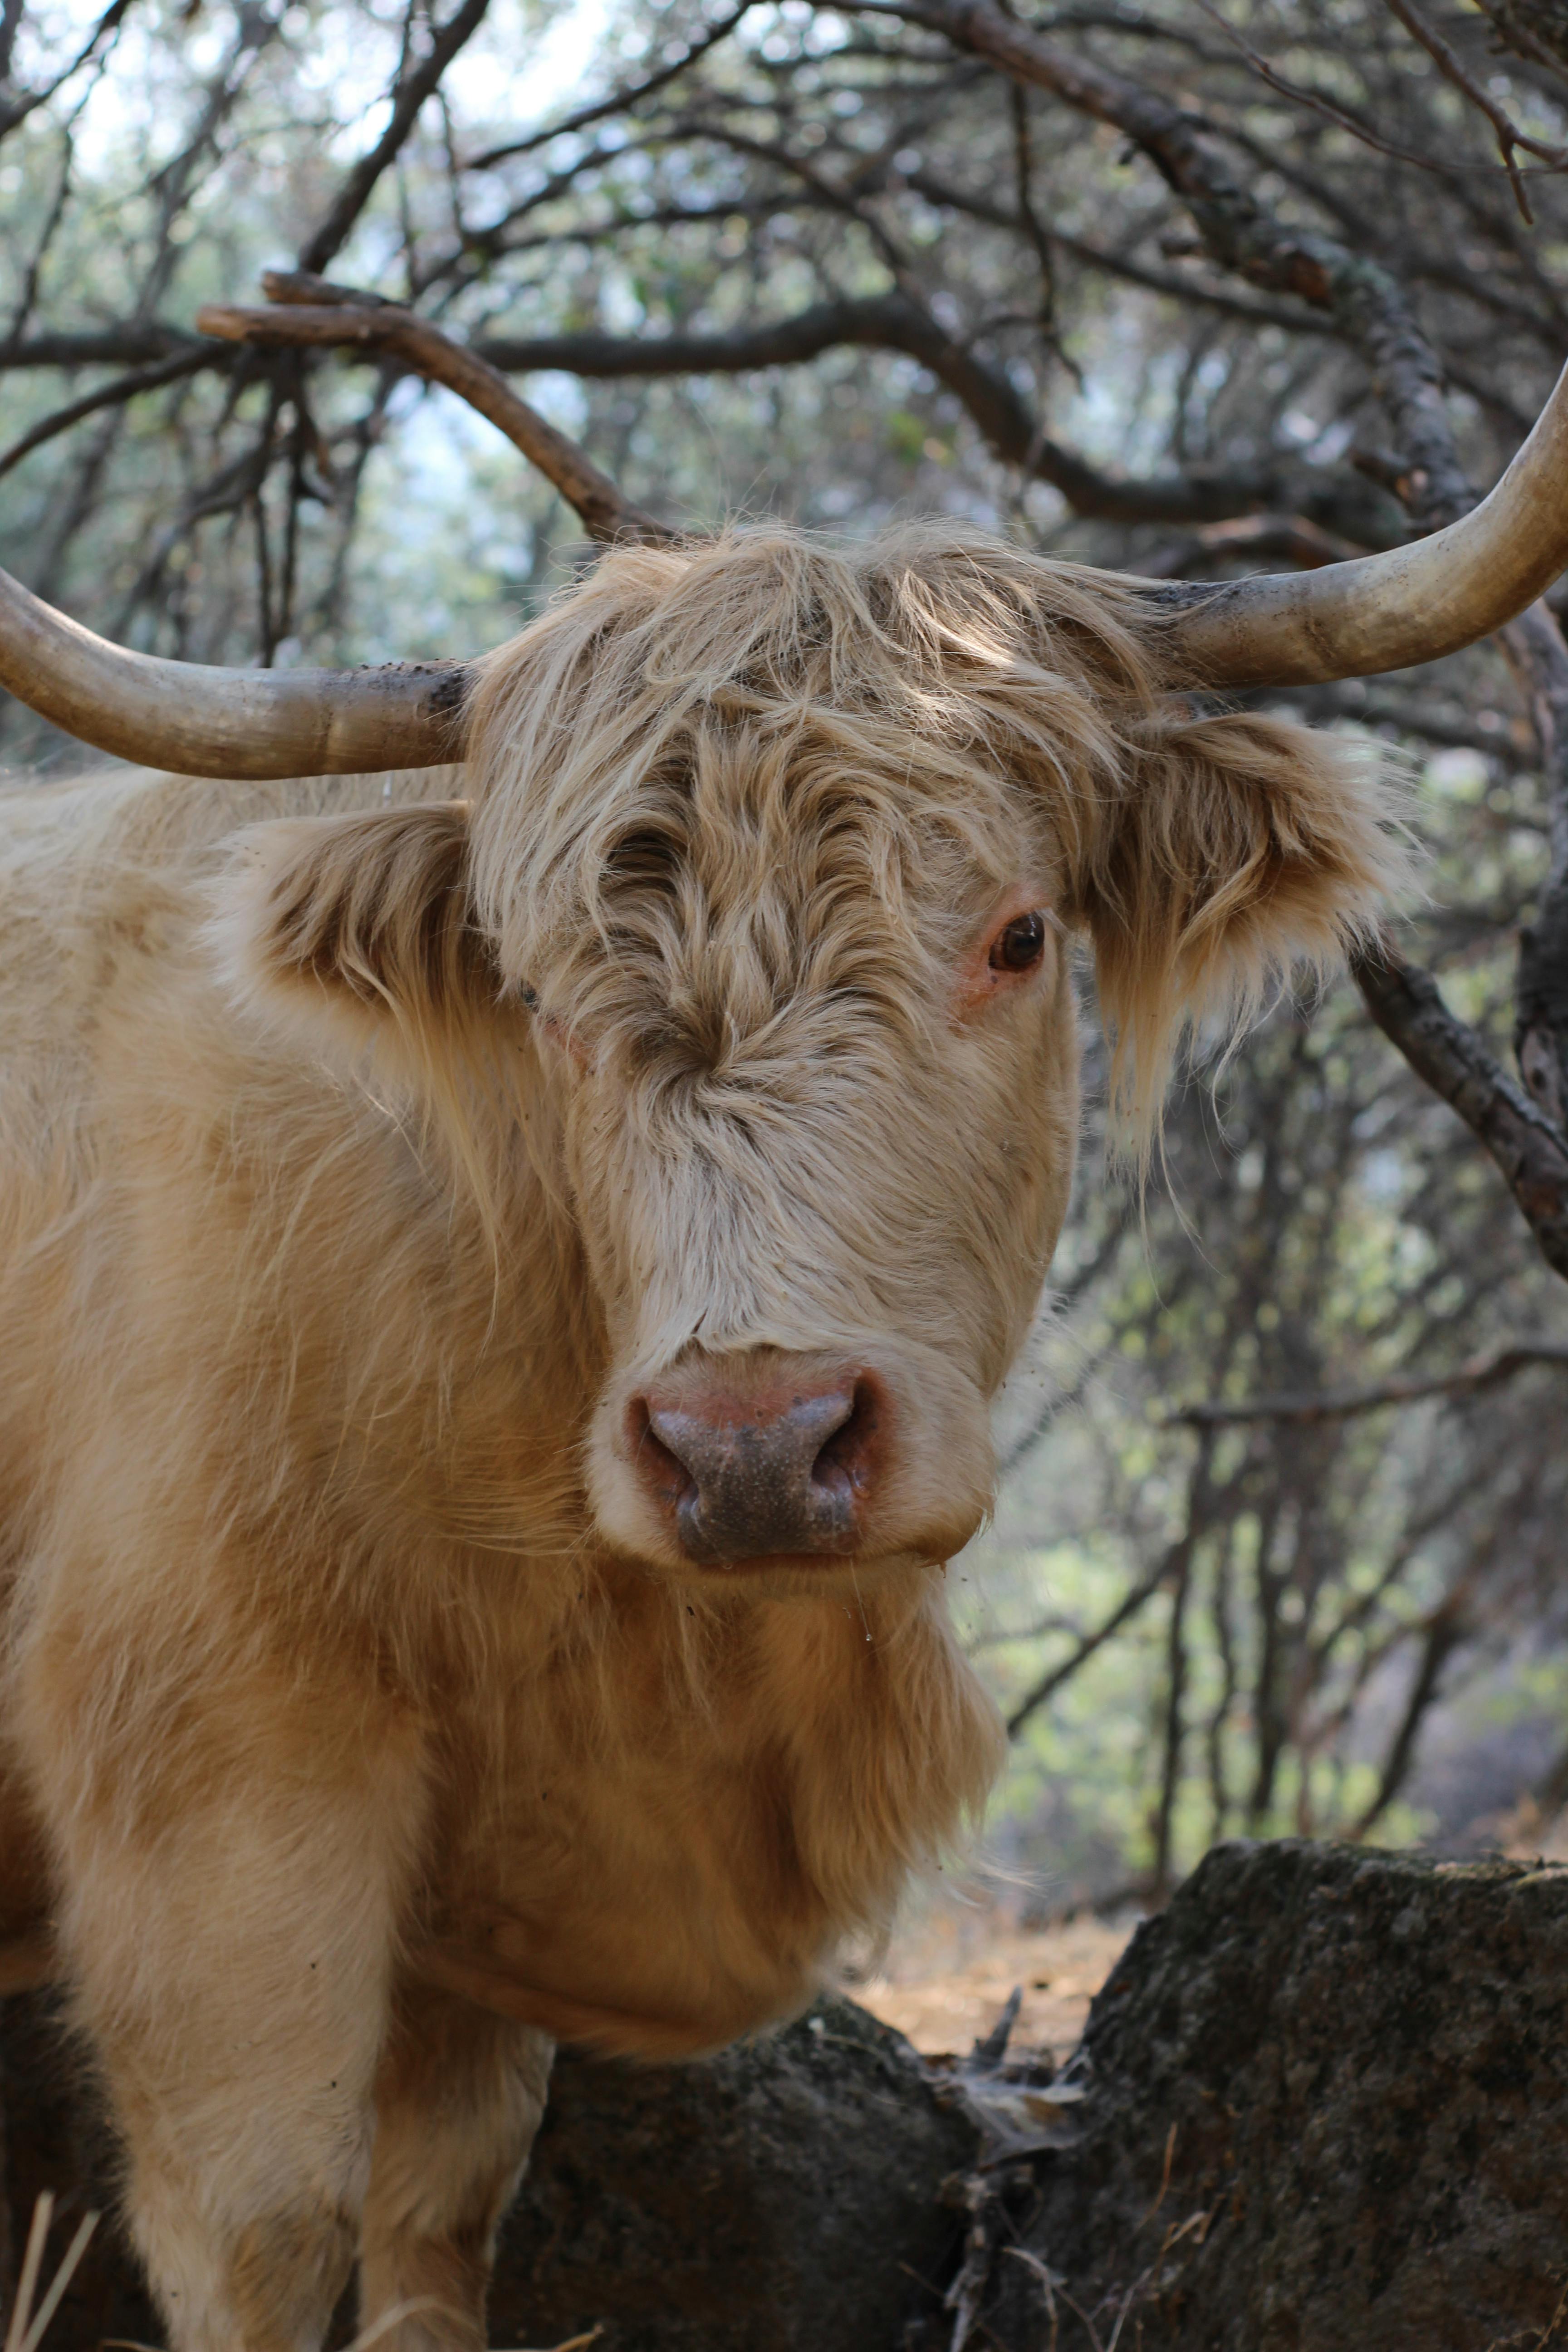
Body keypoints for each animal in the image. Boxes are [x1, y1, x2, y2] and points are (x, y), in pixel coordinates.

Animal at [1, 345, 1565, 2352]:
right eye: (536, 993)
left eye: (1019, 934)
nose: (752, 1445)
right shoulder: (210, 1796)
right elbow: (266, 2231)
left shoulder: (478, 1891)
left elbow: (436, 2221)